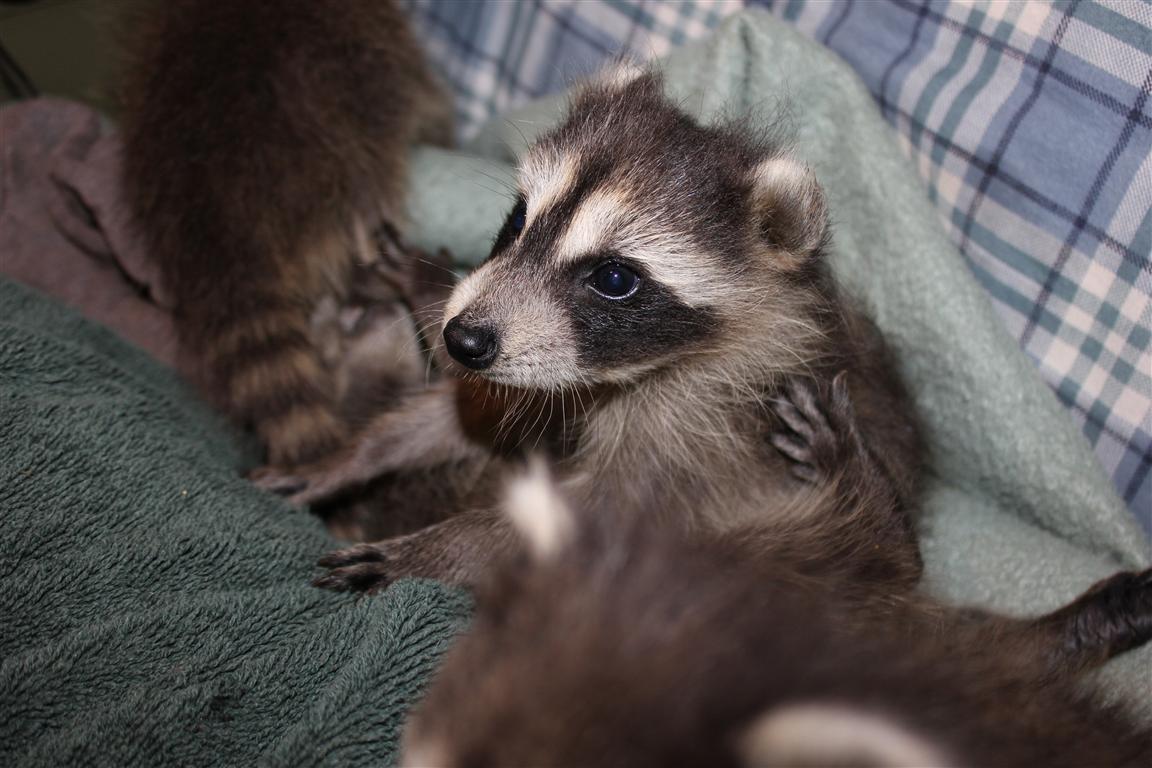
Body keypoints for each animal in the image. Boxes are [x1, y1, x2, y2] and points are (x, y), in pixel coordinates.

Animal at [256, 68, 925, 588]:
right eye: (519, 219)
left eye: (614, 278)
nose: (461, 340)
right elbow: (473, 411)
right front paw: (351, 453)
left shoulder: (699, 437)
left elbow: (578, 524)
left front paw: (436, 549)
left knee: (880, 553)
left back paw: (865, 491)